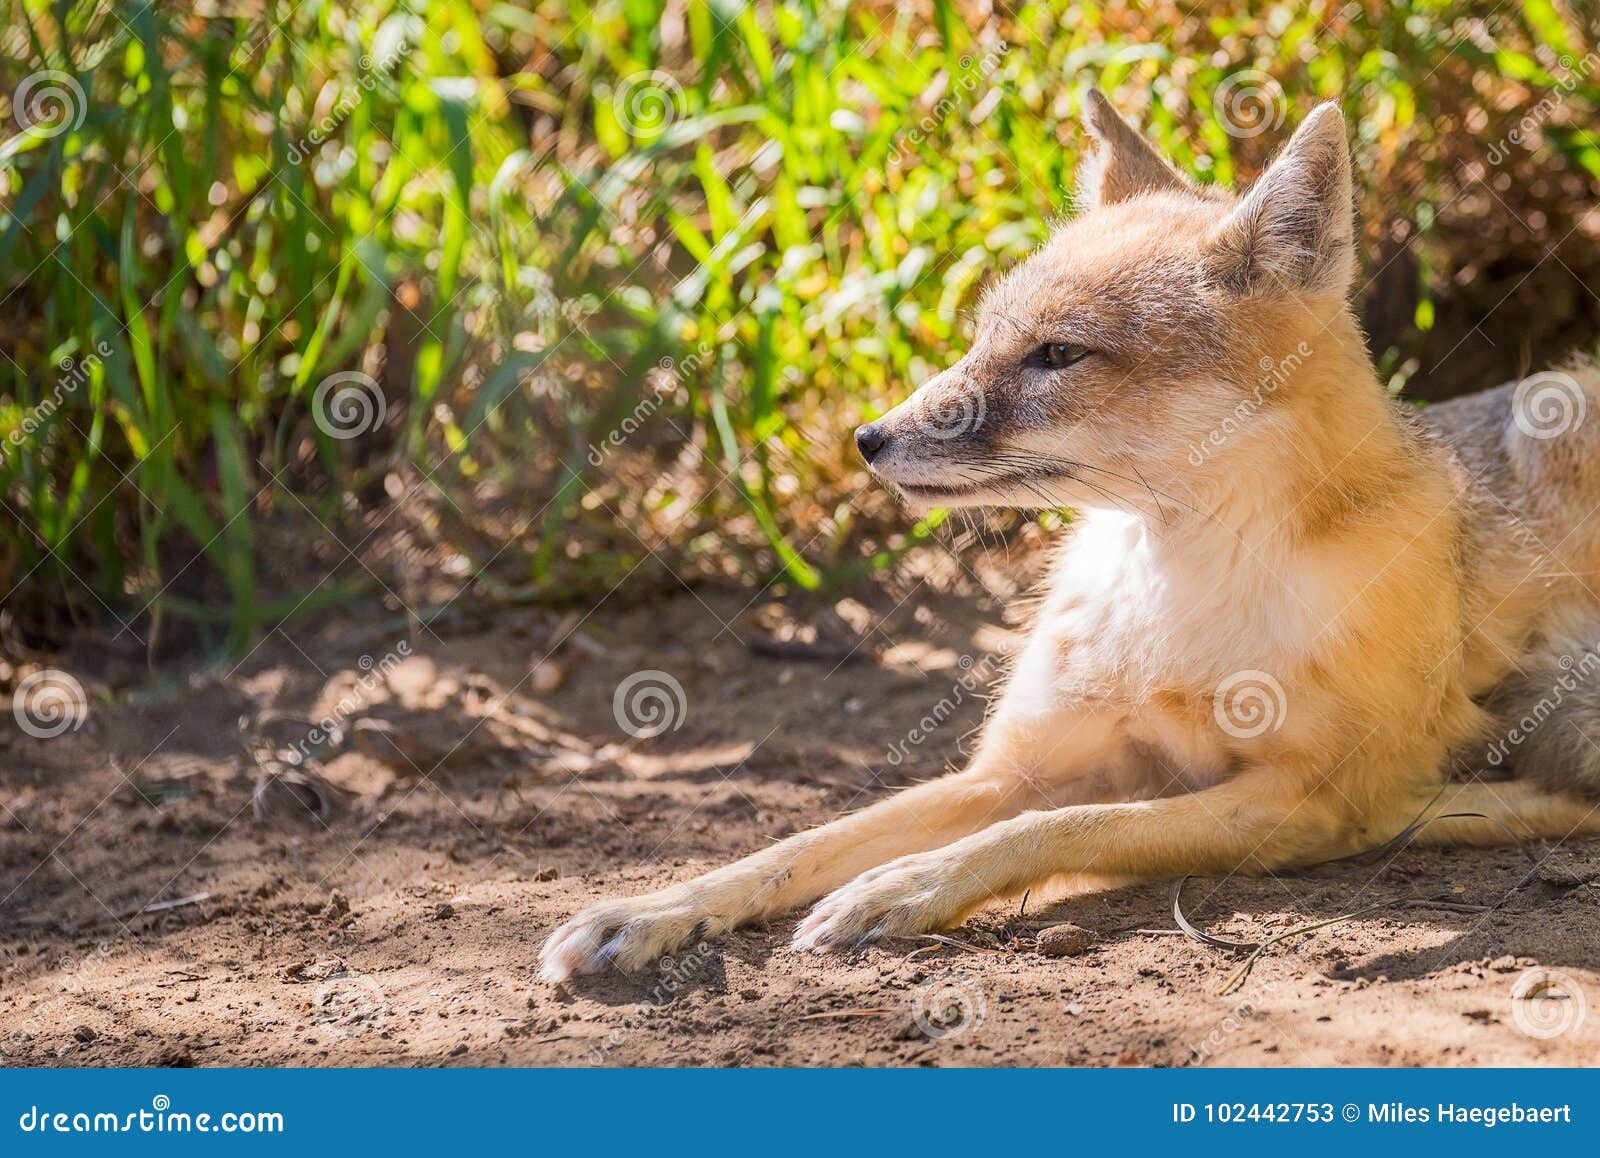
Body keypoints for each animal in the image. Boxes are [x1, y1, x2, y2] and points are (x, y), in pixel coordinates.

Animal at [539, 91, 1600, 982]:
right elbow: (800, 843)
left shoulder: (1300, 799)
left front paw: (905, 887)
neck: (1179, 593)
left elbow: (1058, 830)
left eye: (1058, 354)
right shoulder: (1012, 769)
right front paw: (653, 909)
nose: (870, 439)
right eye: (981, 338)